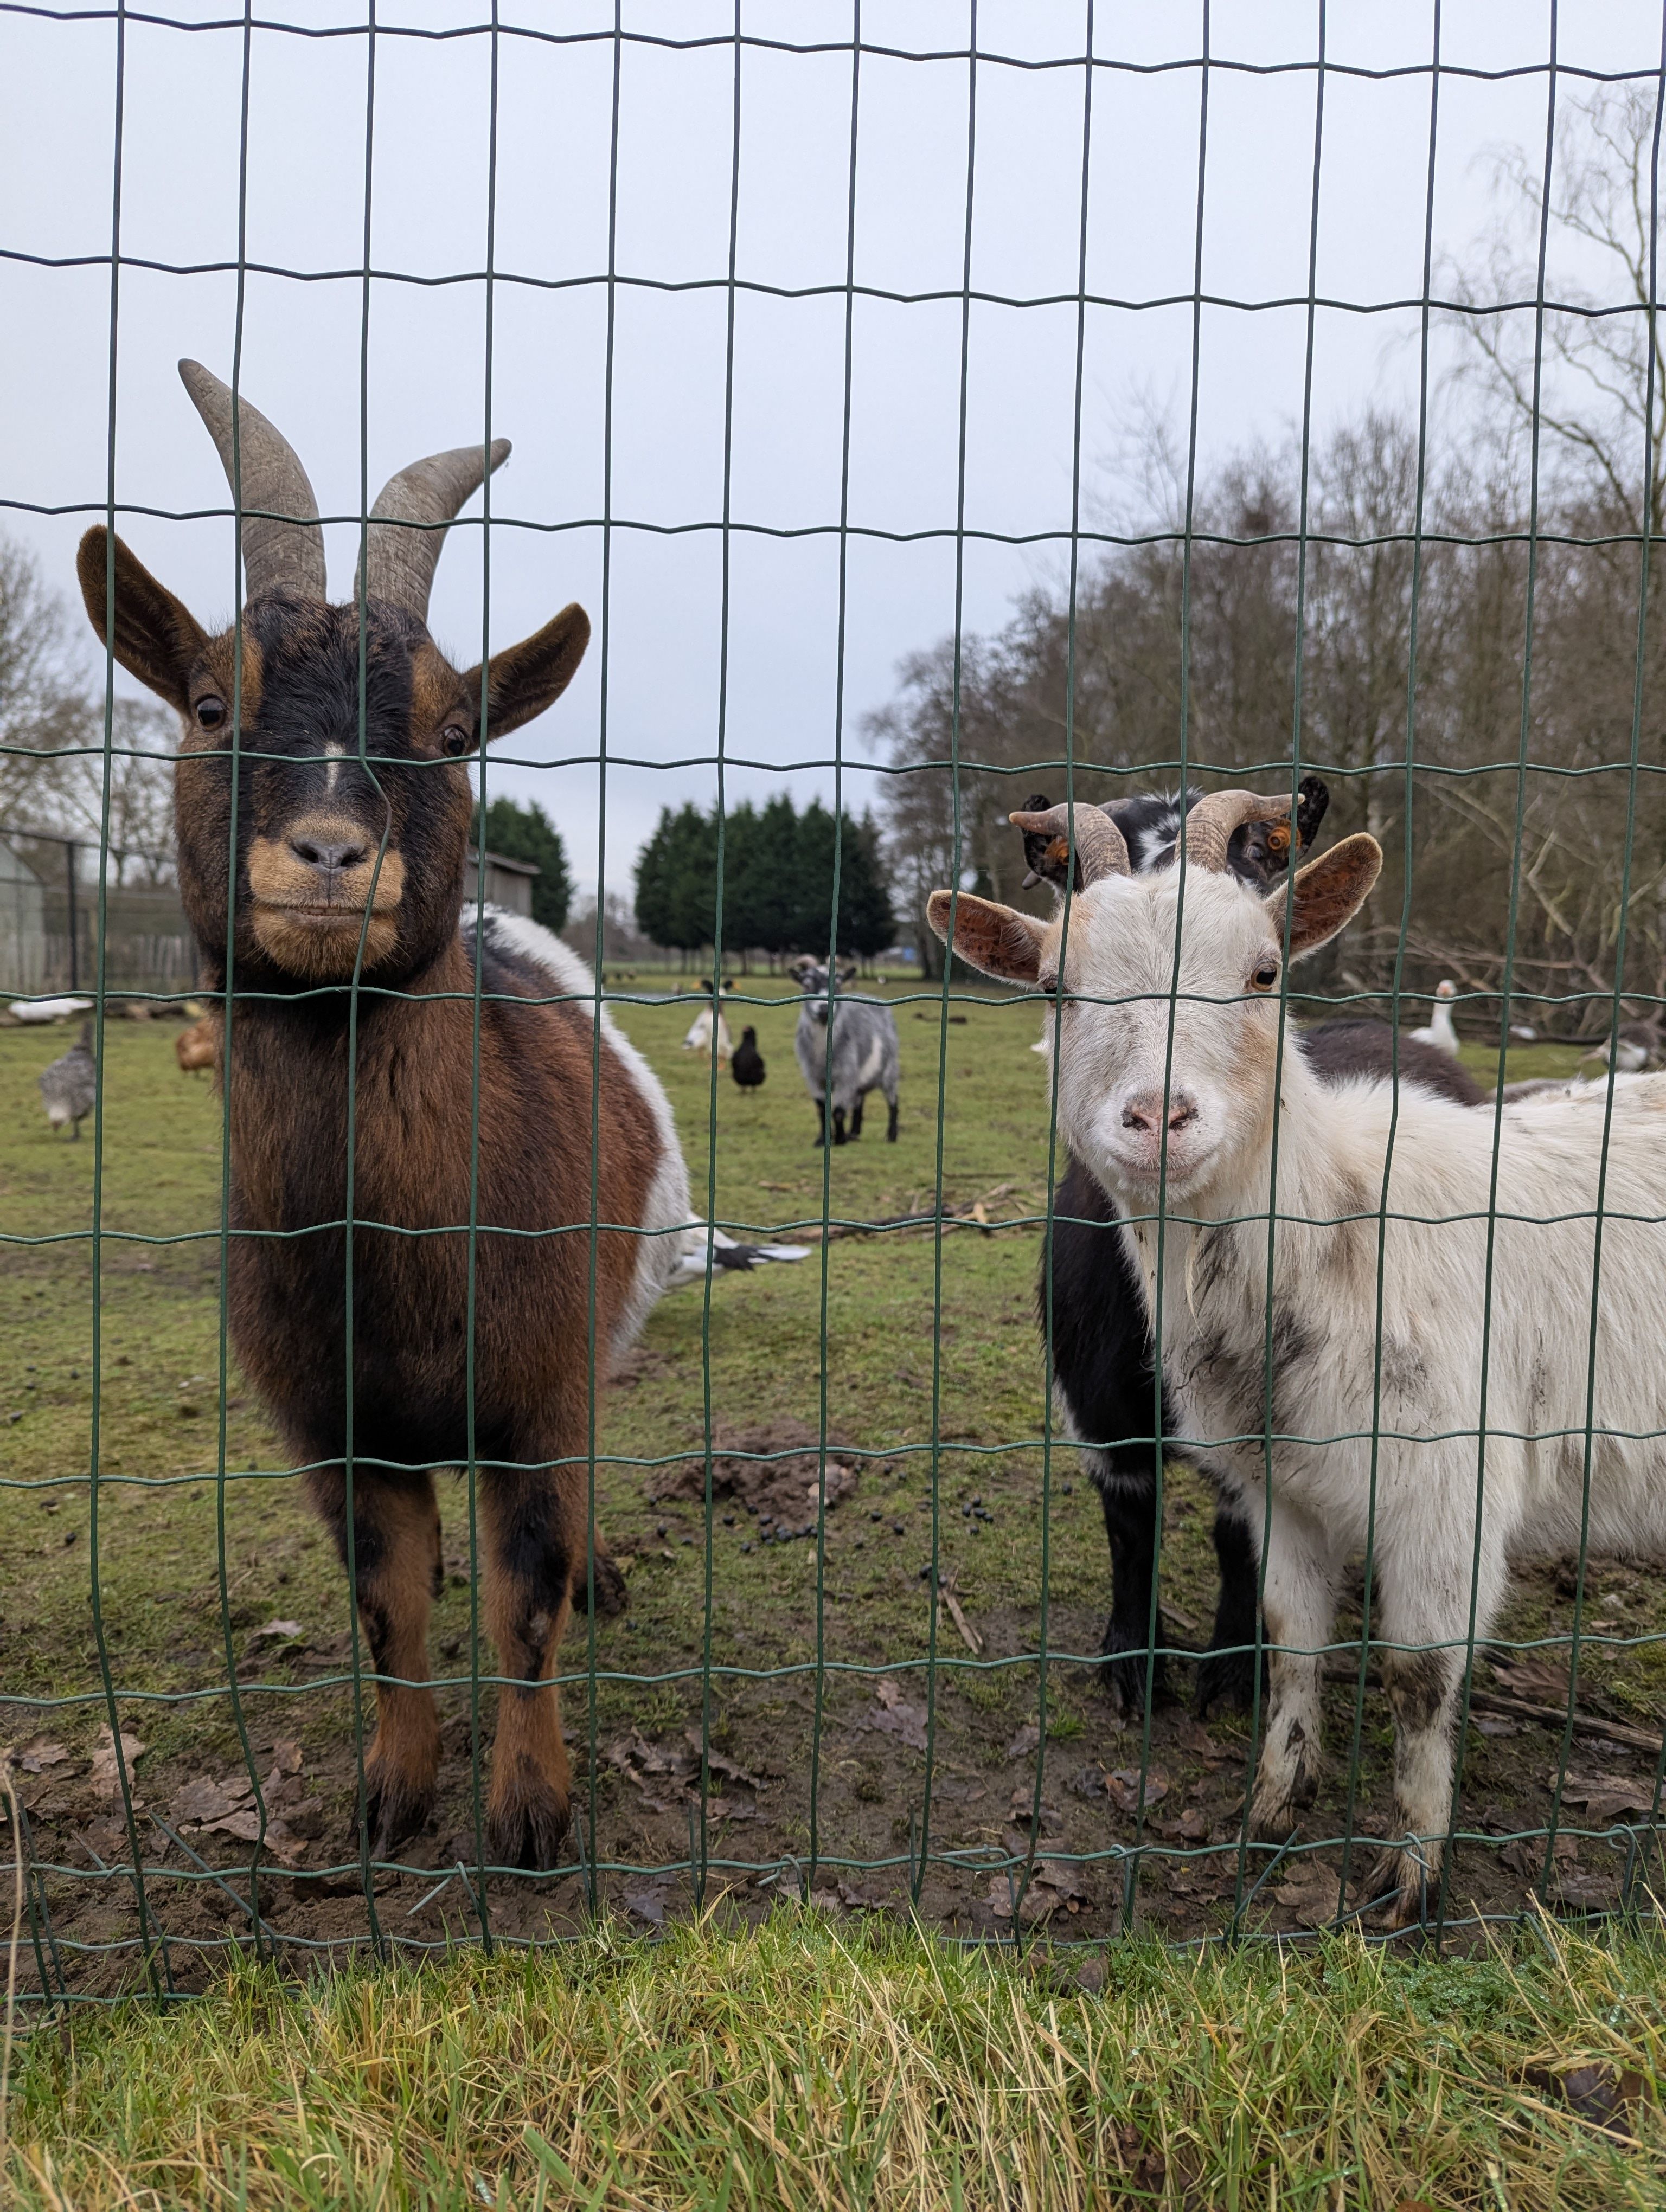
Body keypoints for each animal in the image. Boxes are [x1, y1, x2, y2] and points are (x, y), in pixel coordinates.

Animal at [76, 361, 690, 1869]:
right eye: (207, 701)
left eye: (454, 729)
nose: (331, 856)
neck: (391, 1263)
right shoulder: (334, 1431)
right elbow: (385, 1606)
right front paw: (390, 1791)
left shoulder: (536, 1392)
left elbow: (525, 1602)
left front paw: (530, 1811)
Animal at [789, 955, 900, 1145]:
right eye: (807, 985)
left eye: (839, 985)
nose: (823, 1009)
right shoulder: (813, 1079)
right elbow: (822, 1110)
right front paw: (822, 1140)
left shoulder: (845, 1076)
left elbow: (839, 1111)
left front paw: (840, 1139)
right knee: (859, 1100)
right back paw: (854, 1132)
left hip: (889, 1069)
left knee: (893, 1101)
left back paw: (891, 1136)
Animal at [1023, 786, 1481, 1716]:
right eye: (1059, 981)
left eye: (1264, 859)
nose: (1161, 1115)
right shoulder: (1100, 1410)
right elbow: (1130, 1533)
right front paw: (1131, 1664)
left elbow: (1240, 1540)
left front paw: (1236, 1668)